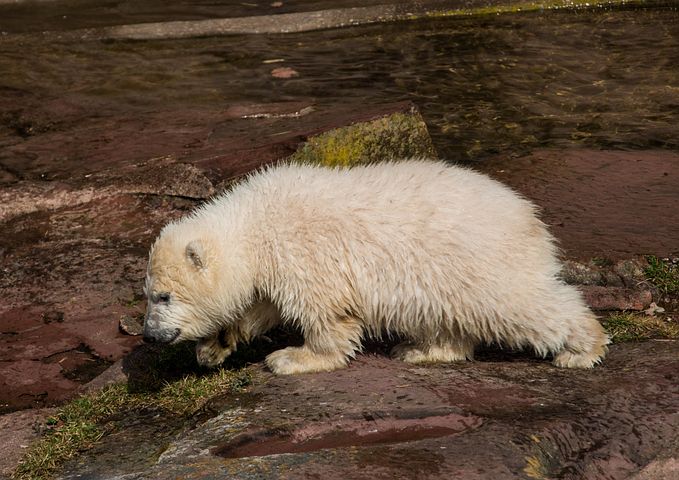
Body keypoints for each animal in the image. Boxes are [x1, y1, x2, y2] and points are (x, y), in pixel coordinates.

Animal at [143, 159, 608, 374]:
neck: (256, 220)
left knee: (519, 303)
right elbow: (258, 307)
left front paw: (292, 358)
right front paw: (212, 349)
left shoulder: (304, 252)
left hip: (479, 260)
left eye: (163, 296)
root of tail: (529, 216)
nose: (149, 334)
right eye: (147, 295)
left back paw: (582, 349)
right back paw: (422, 350)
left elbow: (326, 314)